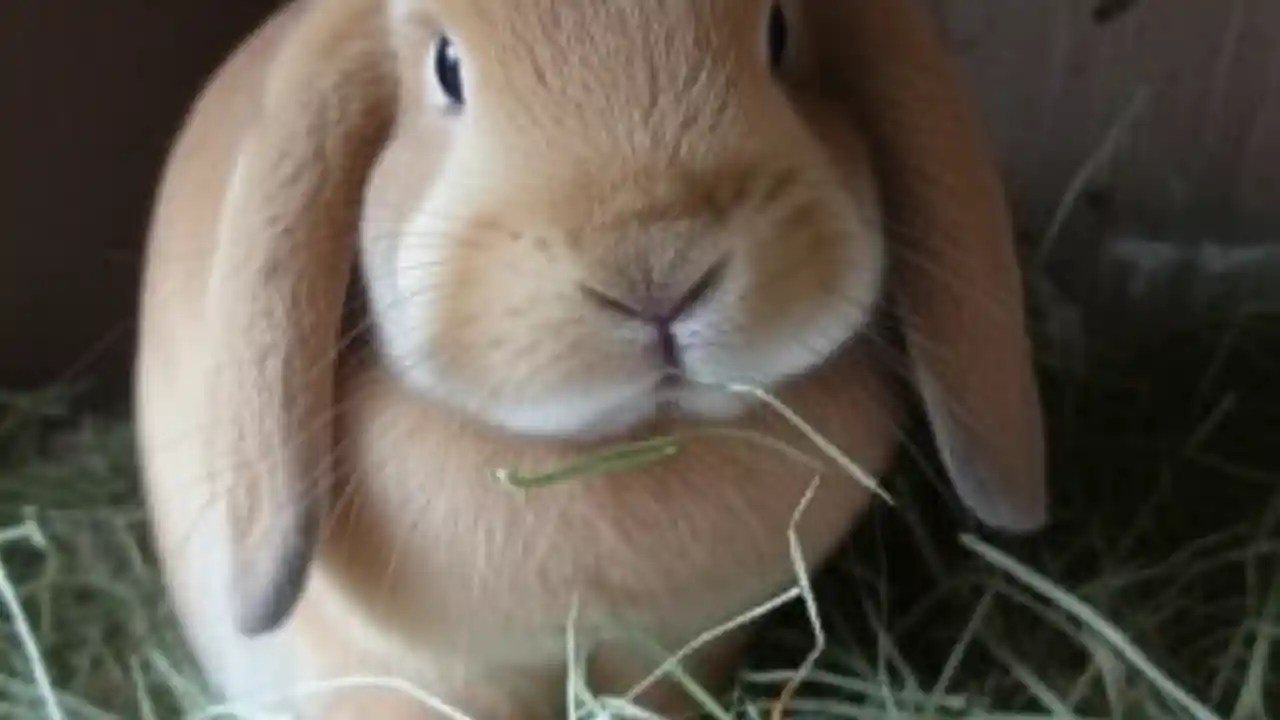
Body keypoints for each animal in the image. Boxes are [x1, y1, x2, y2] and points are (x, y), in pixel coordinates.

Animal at [134, 0, 1047, 716]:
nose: (659, 270)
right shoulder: (414, 677)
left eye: (780, 32)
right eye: (447, 68)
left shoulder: (681, 652)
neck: (624, 457)